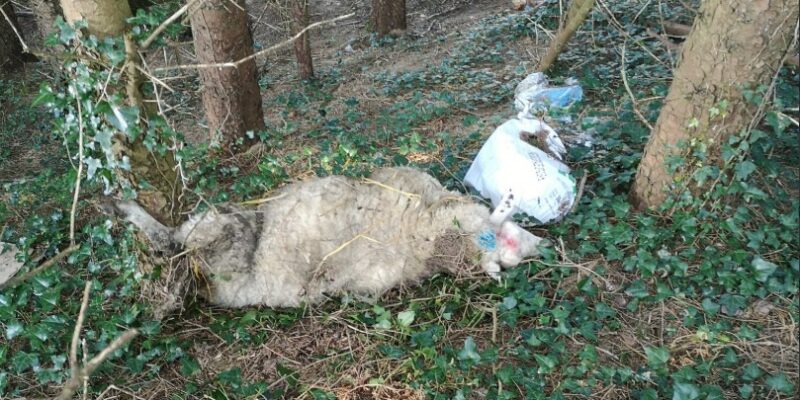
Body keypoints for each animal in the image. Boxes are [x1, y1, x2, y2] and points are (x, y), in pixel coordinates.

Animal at [108, 167, 546, 308]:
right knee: (177, 242)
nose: (543, 246)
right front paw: (508, 202)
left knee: (176, 244)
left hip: (222, 237)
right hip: (223, 226)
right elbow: (490, 219)